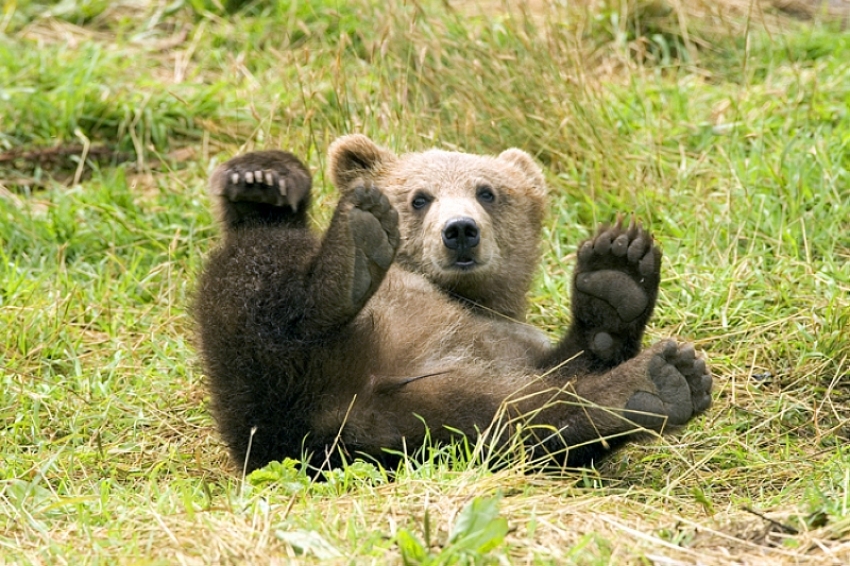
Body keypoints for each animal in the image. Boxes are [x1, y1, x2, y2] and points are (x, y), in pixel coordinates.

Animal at [194, 134, 712, 473]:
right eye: (420, 197)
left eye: (487, 191)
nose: (460, 230)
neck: (464, 296)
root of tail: (338, 411)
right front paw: (261, 176)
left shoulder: (508, 342)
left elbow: (567, 369)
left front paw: (616, 276)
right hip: (265, 387)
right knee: (258, 278)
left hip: (423, 421)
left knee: (521, 420)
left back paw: (655, 380)